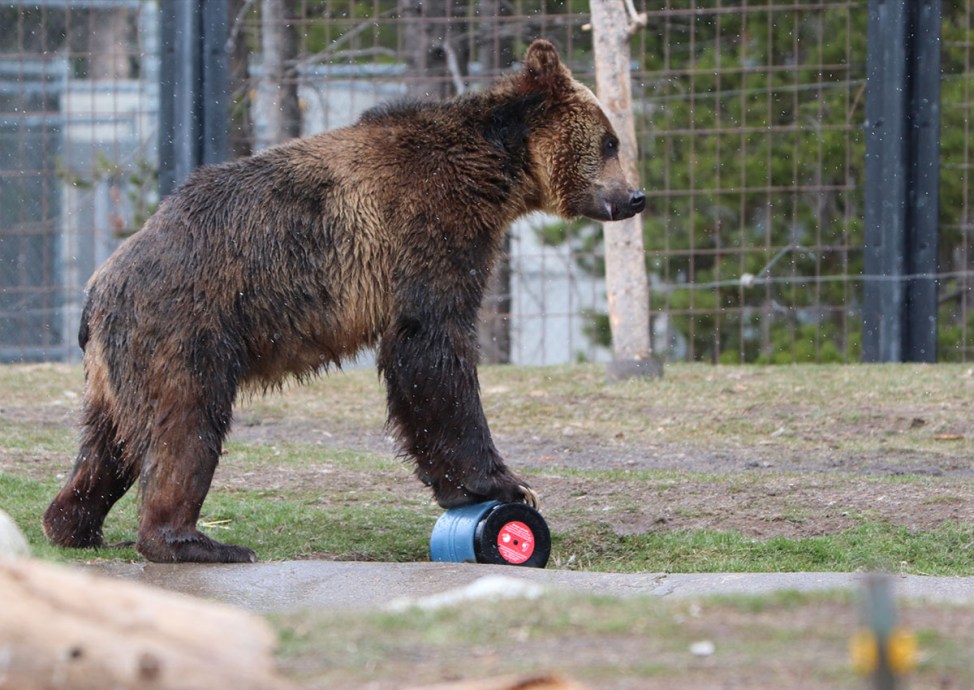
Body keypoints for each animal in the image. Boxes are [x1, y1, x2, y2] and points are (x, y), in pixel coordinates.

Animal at [42, 39, 645, 563]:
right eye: (611, 141)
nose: (635, 196)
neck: (496, 174)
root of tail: (97, 287)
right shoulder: (431, 229)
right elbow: (432, 349)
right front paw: (503, 484)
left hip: (116, 365)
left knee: (109, 445)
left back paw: (75, 524)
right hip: (185, 324)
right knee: (185, 424)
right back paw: (195, 541)